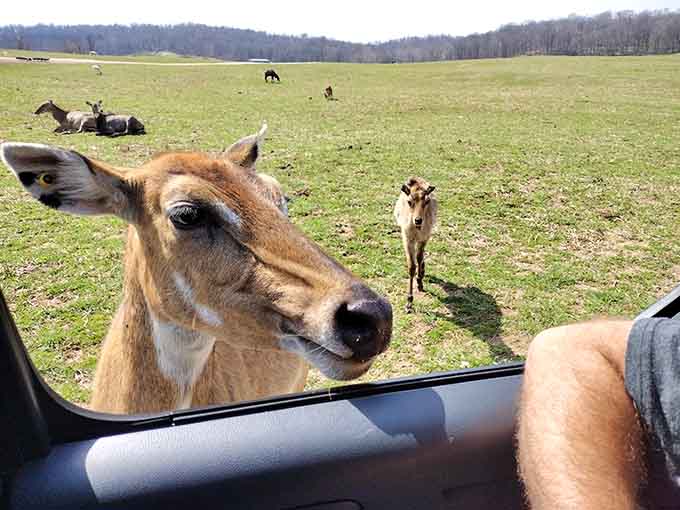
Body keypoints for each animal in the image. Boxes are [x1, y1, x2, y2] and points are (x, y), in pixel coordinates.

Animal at [394, 177, 437, 313]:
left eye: (427, 201)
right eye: (409, 201)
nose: (418, 220)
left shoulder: (424, 237)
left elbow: (419, 257)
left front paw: (420, 282)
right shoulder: (407, 238)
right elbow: (411, 266)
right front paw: (409, 302)